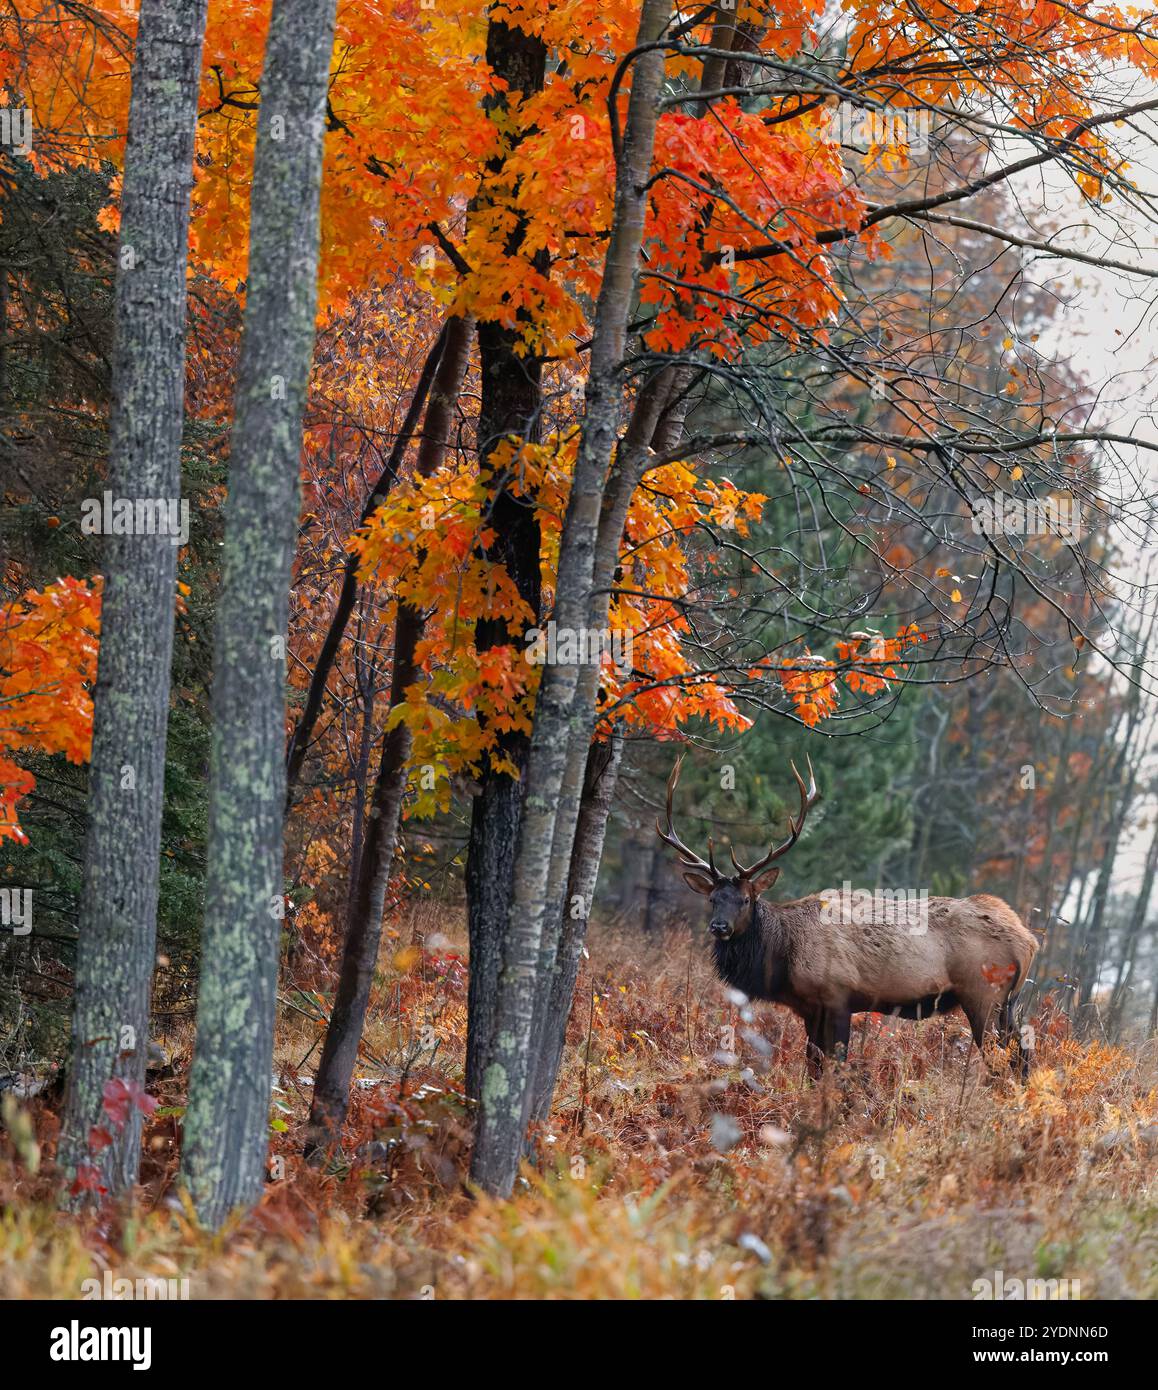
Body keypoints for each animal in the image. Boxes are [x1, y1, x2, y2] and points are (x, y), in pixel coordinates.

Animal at [657, 756, 1036, 1080]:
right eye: (712, 899)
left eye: (746, 899)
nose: (719, 926)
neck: (783, 956)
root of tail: (1028, 940)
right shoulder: (809, 1009)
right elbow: (812, 1065)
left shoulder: (838, 997)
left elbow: (833, 1066)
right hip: (1007, 1003)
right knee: (1022, 1053)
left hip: (984, 995)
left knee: (1003, 1057)